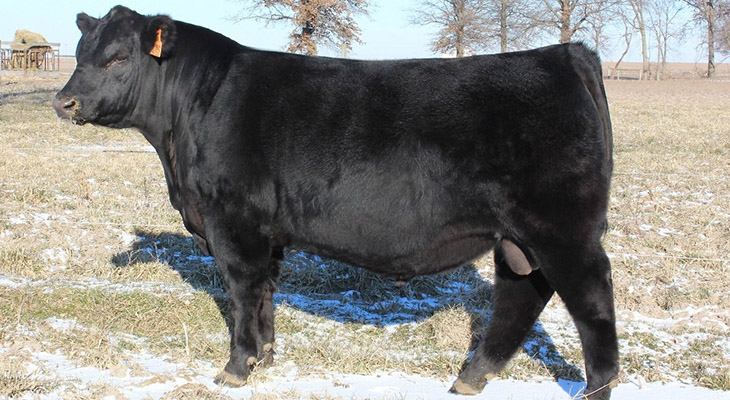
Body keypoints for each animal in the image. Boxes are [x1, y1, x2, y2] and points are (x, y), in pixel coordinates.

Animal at [53, 5, 618, 399]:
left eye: (119, 58)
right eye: (80, 54)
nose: (64, 101)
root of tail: (563, 54)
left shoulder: (232, 222)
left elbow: (240, 293)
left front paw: (235, 368)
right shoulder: (267, 232)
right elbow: (265, 294)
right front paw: (266, 356)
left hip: (564, 230)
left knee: (592, 304)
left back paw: (595, 389)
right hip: (517, 238)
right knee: (522, 298)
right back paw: (470, 378)